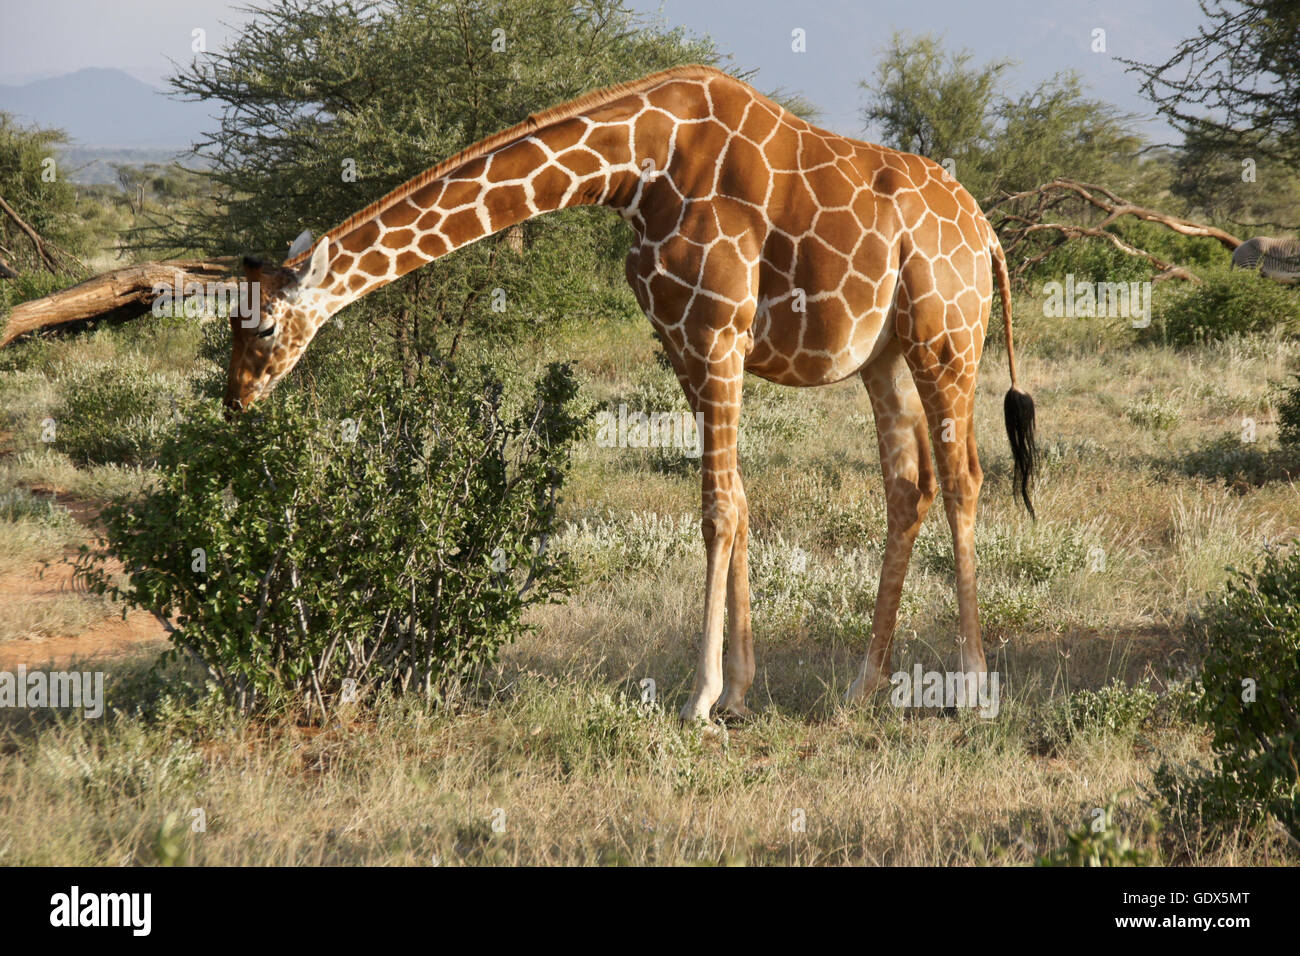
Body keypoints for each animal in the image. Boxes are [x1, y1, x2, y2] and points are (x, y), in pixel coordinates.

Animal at [226, 65, 1034, 723]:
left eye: (261, 326)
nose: (236, 398)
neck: (635, 169)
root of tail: (987, 233)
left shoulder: (717, 333)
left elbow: (716, 509)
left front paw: (699, 696)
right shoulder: (683, 342)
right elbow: (740, 501)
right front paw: (739, 693)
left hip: (945, 338)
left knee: (963, 479)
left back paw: (973, 688)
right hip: (882, 355)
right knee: (909, 485)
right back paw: (863, 689)